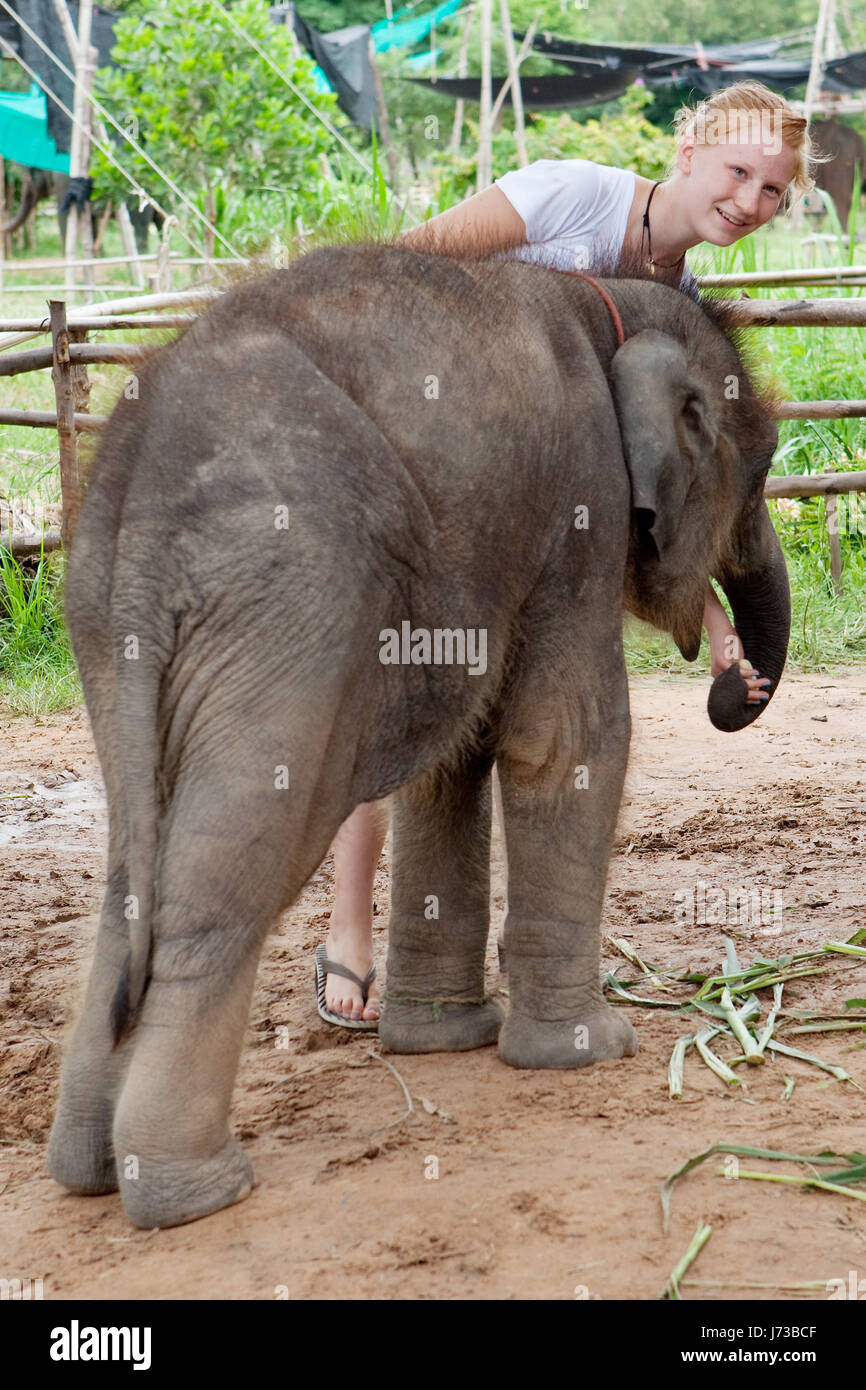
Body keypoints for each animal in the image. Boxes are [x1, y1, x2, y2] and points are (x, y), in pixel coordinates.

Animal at [45, 240, 791, 1228]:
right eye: (763, 468)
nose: (734, 683)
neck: (605, 298)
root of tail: (132, 487)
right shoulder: (579, 502)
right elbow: (562, 743)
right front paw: (592, 1048)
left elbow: (453, 759)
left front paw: (443, 1041)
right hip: (289, 602)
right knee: (228, 865)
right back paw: (196, 1192)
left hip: (109, 633)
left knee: (133, 875)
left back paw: (88, 1171)